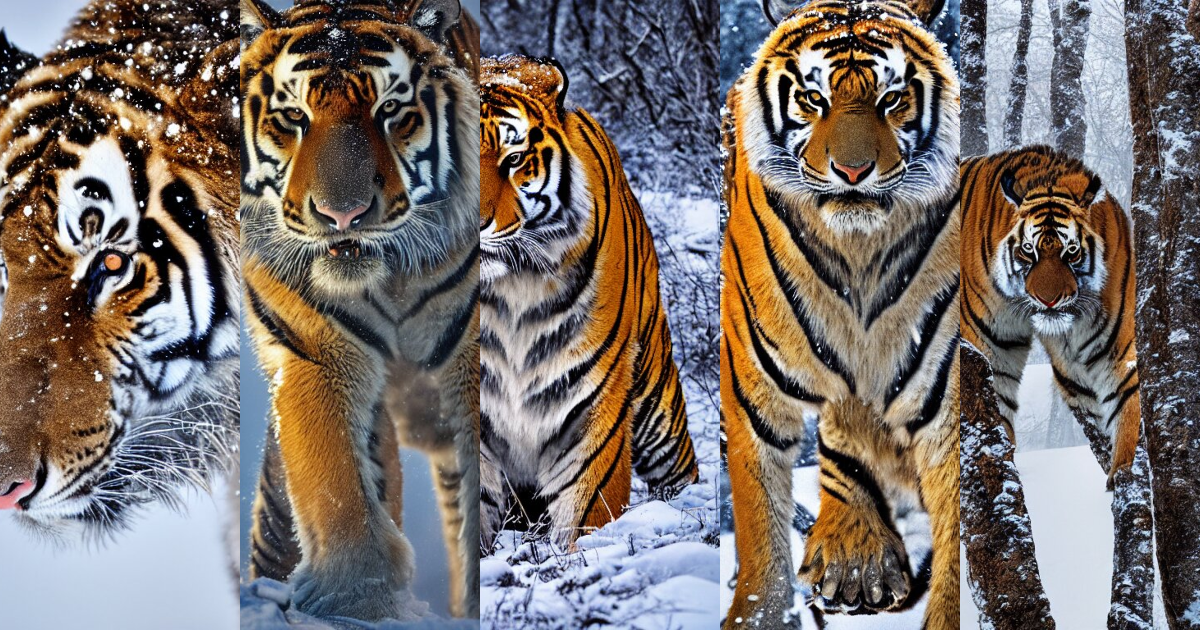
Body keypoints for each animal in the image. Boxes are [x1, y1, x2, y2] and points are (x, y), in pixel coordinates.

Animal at [239, 0, 481, 620]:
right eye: (294, 116)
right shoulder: (317, 351)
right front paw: (359, 599)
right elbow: (339, 486)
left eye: (389, 109)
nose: (341, 216)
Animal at [720, 0, 960, 627]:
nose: (853, 173)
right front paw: (758, 611)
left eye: (892, 99)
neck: (858, 253)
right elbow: (760, 528)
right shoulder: (754, 387)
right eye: (813, 98)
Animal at [961, 146, 1140, 488]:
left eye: (1071, 251)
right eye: (1028, 250)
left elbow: (1128, 410)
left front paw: (1126, 472)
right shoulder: (988, 347)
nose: (1049, 299)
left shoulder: (1116, 351)